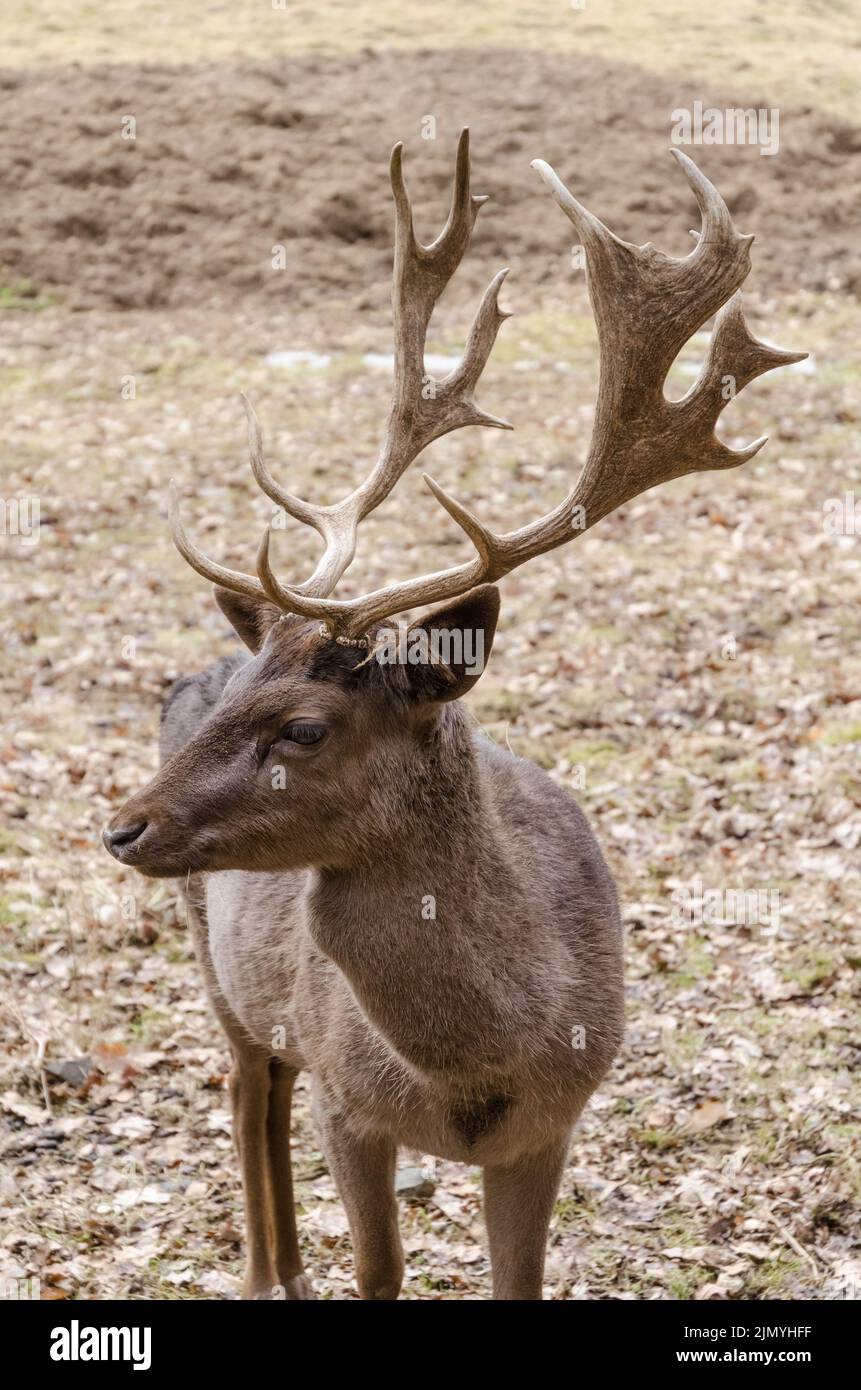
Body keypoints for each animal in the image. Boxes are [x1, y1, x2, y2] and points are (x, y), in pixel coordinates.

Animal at [102, 130, 805, 1300]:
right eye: (245, 697)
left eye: (303, 726)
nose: (122, 825)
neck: (478, 1067)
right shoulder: (350, 1099)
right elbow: (377, 1270)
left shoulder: (554, 1123)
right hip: (222, 975)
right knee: (249, 1092)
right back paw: (267, 1272)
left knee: (262, 1089)